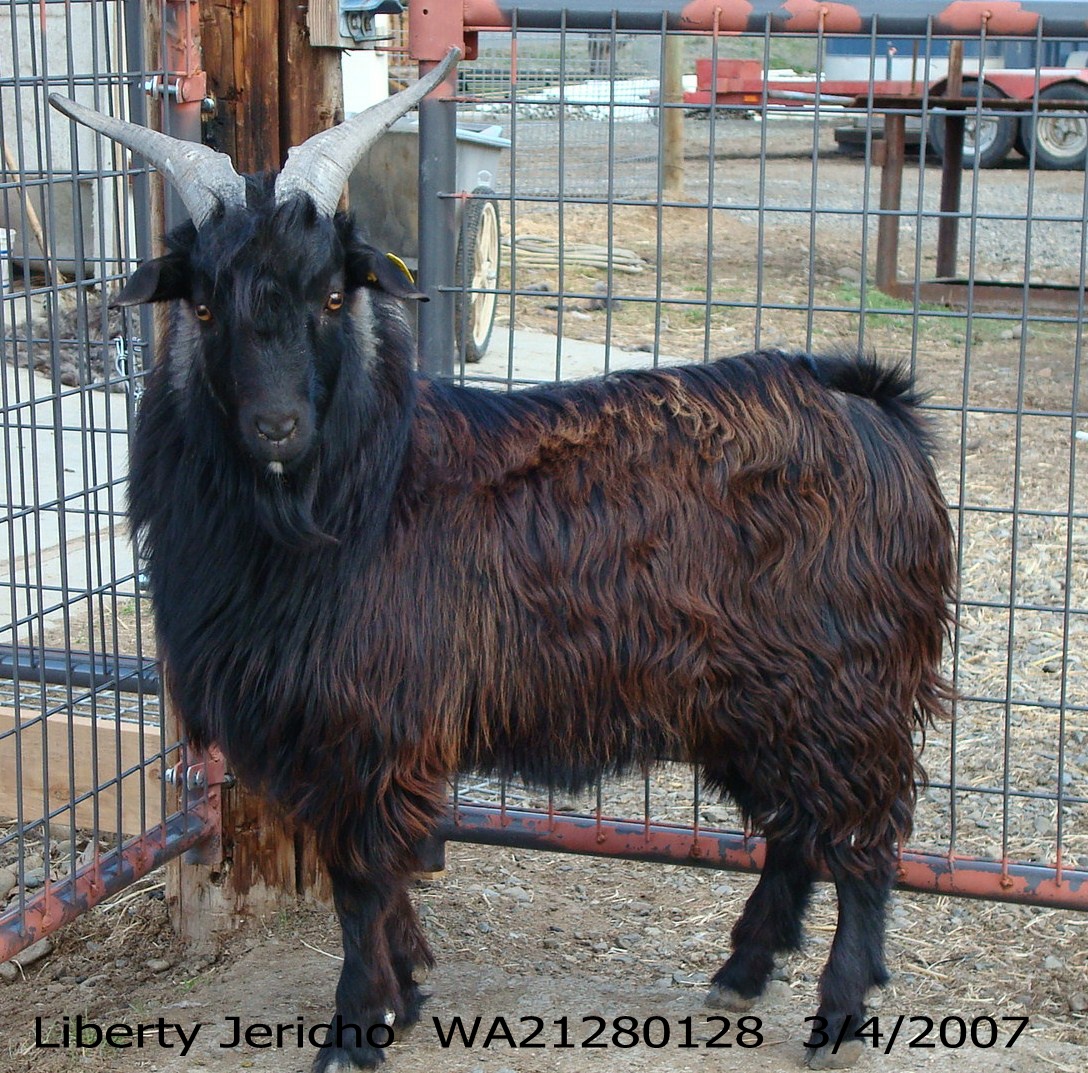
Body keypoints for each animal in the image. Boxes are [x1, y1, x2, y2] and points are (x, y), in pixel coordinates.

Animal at [53, 50, 955, 1073]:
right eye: (204, 304)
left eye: (333, 295)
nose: (277, 426)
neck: (365, 488)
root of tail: (875, 404)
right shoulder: (339, 739)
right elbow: (378, 880)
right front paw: (408, 989)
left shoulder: (370, 723)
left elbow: (360, 882)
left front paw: (356, 1025)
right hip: (754, 705)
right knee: (800, 831)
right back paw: (742, 971)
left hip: (846, 693)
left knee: (867, 839)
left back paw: (837, 1007)